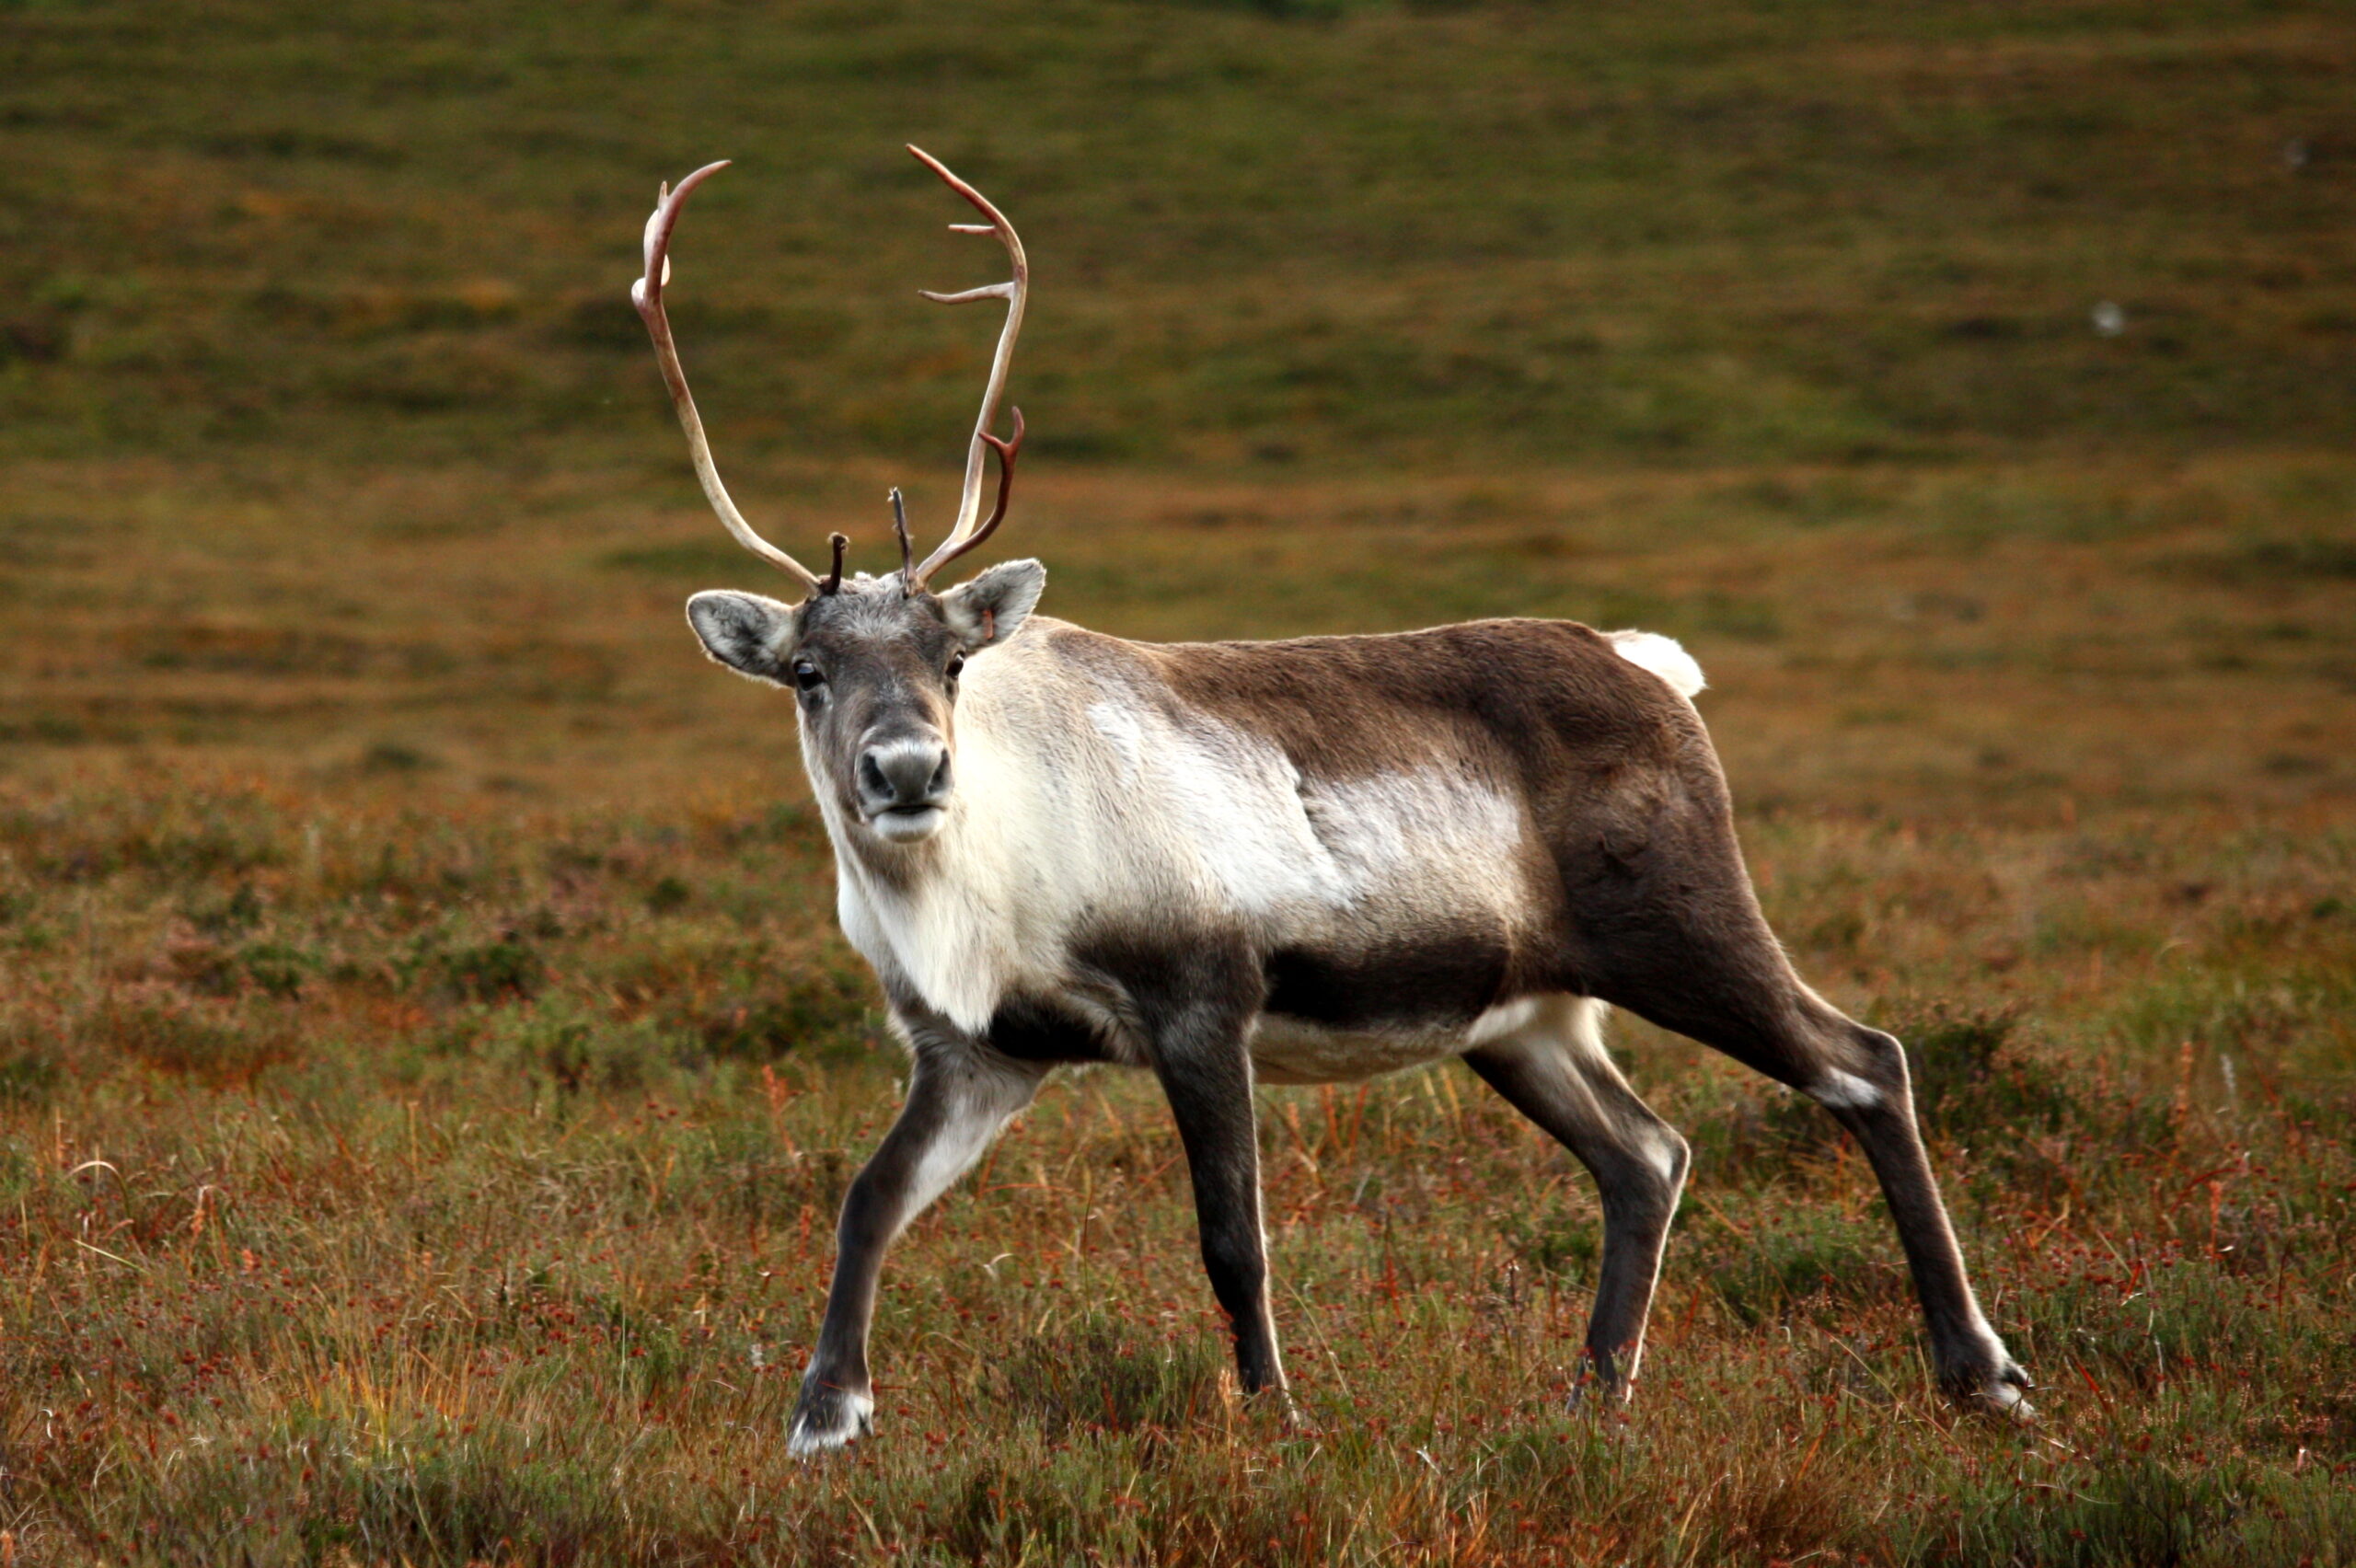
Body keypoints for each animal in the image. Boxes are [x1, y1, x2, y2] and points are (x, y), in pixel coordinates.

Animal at [628, 148, 2032, 1454]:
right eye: (809, 672)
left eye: (951, 660)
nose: (910, 770)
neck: (986, 887)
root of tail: (1649, 663)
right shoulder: (978, 1049)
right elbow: (866, 1196)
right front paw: (826, 1413)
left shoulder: (1202, 999)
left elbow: (1232, 1238)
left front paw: (1276, 1416)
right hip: (1525, 1014)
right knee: (1648, 1154)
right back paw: (1592, 1397)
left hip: (1685, 926)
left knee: (1865, 1064)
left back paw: (1982, 1372)